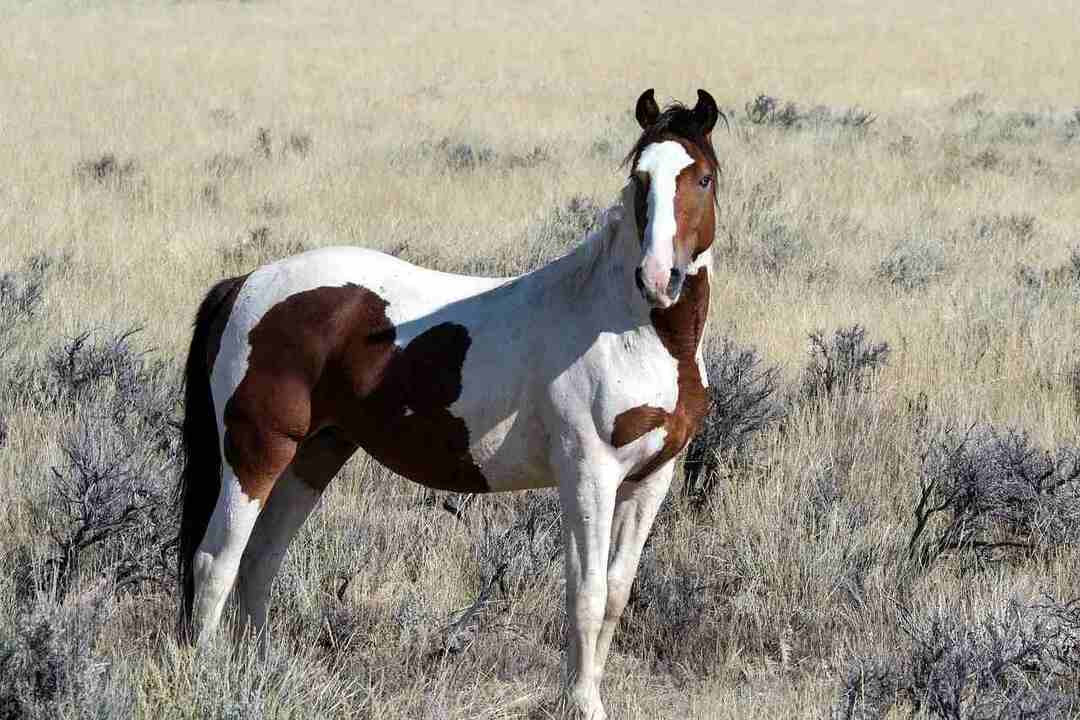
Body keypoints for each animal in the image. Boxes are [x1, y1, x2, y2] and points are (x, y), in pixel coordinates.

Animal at [179, 87, 725, 716]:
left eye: (702, 177)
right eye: (641, 179)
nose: (659, 278)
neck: (627, 327)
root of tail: (245, 284)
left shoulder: (650, 479)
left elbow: (614, 592)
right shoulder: (589, 474)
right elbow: (585, 595)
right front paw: (582, 703)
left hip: (313, 457)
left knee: (259, 563)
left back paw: (261, 676)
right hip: (256, 455)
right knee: (215, 563)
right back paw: (209, 682)